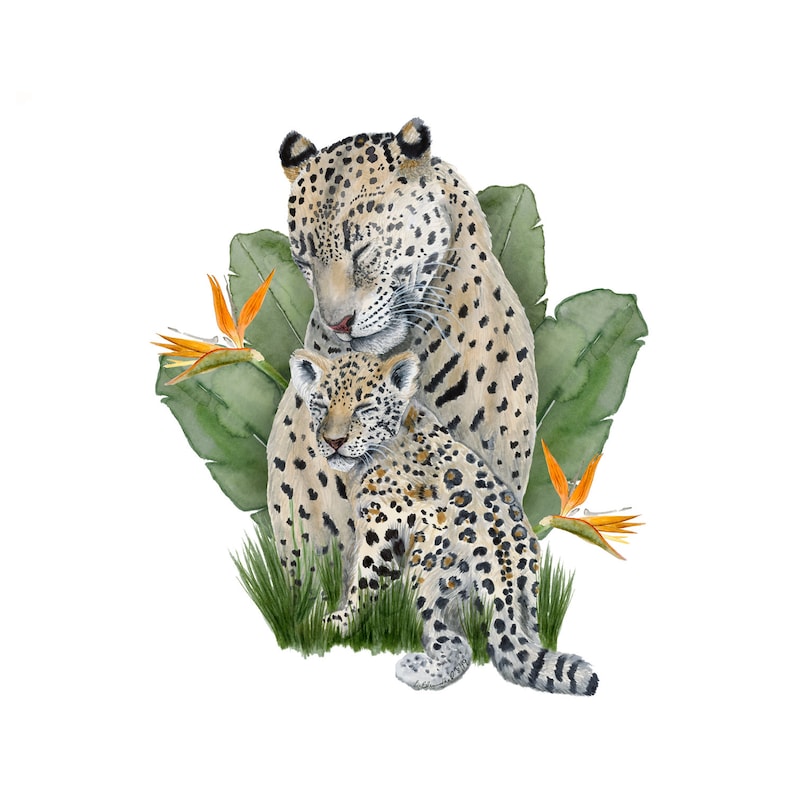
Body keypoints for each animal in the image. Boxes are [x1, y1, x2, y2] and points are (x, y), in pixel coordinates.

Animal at [289, 347, 598, 695]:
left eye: (364, 407)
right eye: (321, 405)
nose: (334, 441)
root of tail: (507, 578)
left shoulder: (380, 523)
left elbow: (366, 576)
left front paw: (341, 621)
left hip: (427, 569)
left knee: (456, 645)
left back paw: (416, 670)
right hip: (526, 606)